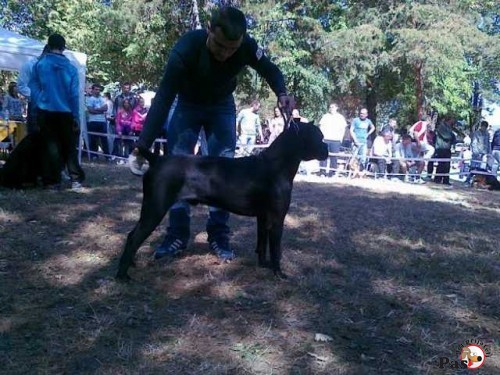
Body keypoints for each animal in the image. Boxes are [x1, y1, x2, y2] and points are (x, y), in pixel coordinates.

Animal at [115, 121, 330, 282]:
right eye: (319, 137)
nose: (327, 148)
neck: (277, 165)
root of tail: (157, 159)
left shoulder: (263, 218)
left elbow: (262, 244)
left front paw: (264, 265)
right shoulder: (277, 219)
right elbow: (276, 249)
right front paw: (279, 273)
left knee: (132, 235)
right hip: (155, 209)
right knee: (134, 237)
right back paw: (122, 275)